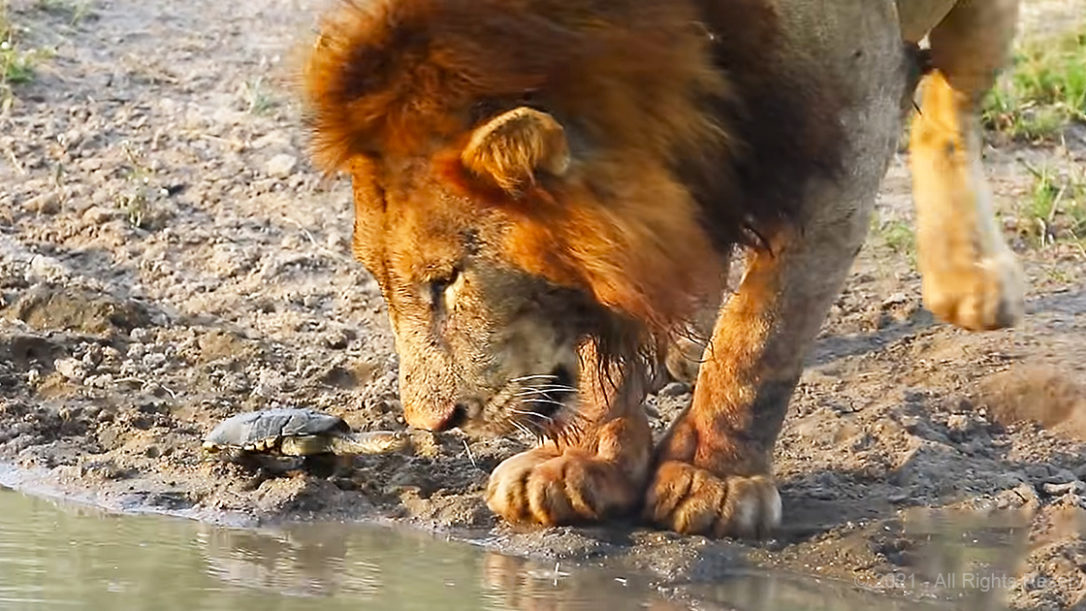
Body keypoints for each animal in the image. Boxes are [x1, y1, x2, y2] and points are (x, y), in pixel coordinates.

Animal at [300, 0, 1024, 538]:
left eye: (448, 280)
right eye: (381, 283)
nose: (432, 424)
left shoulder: (842, 138)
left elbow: (759, 338)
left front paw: (714, 477)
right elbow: (606, 324)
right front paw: (580, 463)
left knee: (952, 108)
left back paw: (973, 283)